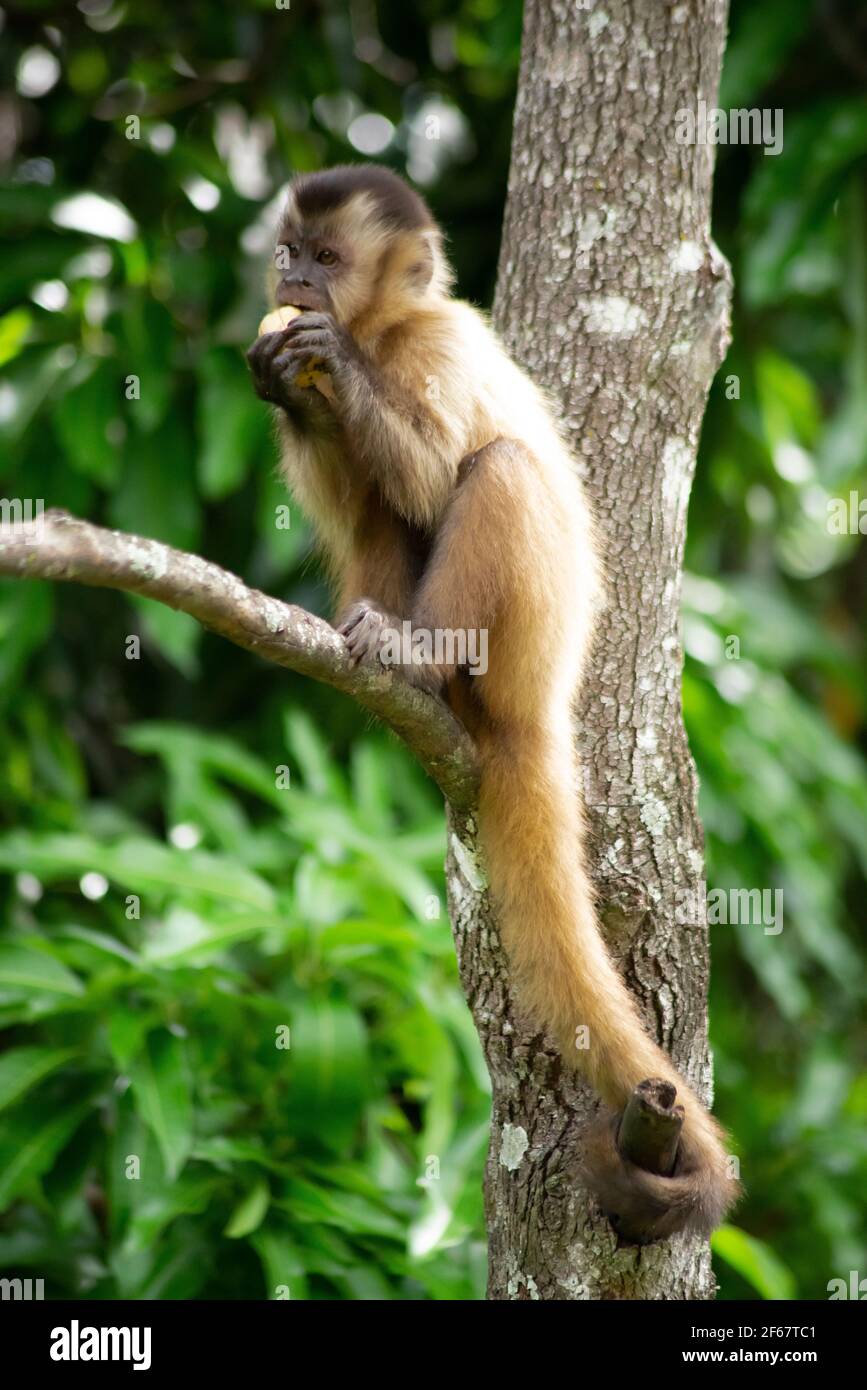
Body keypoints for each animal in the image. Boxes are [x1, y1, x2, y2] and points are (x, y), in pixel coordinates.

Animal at [246, 163, 738, 1244]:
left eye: (327, 257)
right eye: (288, 251)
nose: (292, 280)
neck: (389, 330)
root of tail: (546, 703)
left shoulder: (443, 341)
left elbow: (438, 469)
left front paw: (332, 370)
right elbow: (357, 499)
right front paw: (291, 389)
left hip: (522, 649)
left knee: (495, 468)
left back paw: (424, 658)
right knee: (383, 513)